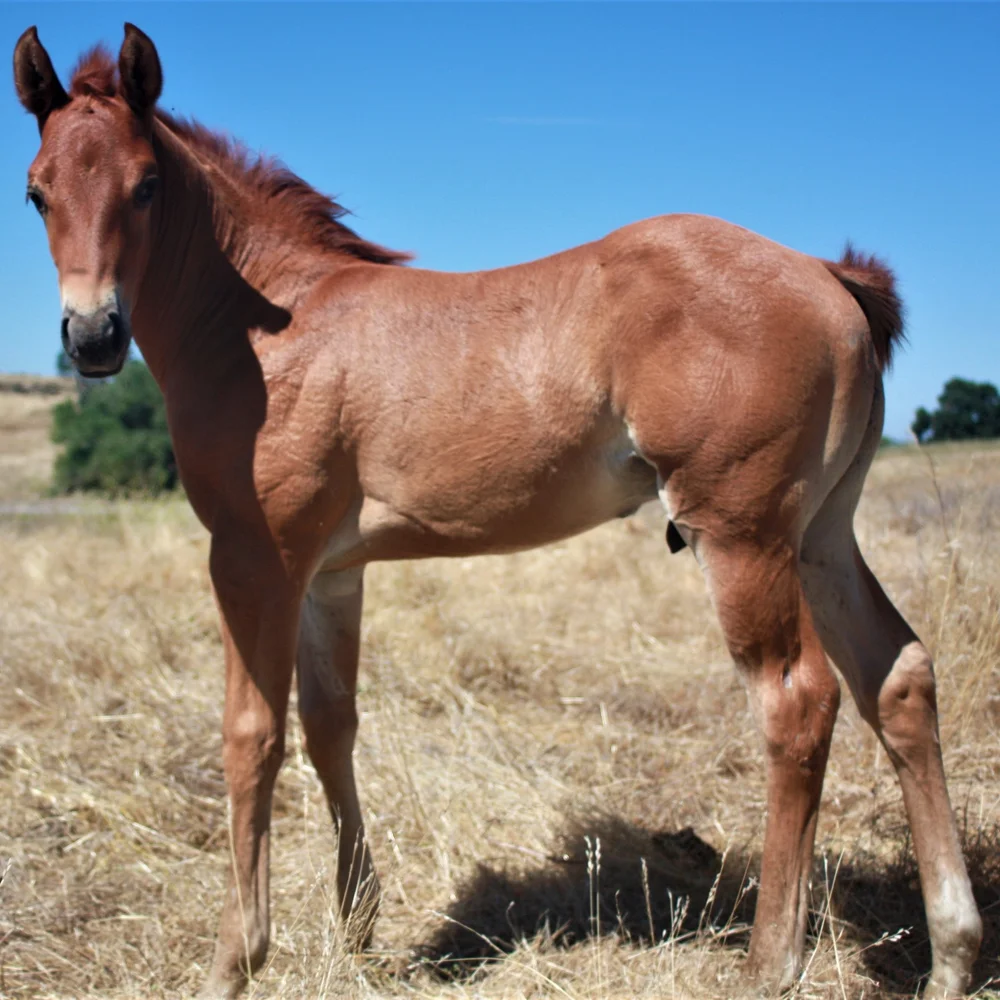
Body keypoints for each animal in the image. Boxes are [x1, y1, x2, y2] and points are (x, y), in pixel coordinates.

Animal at [13, 23, 981, 999]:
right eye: (37, 192)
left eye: (145, 184)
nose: (91, 336)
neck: (269, 324)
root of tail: (827, 275)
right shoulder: (331, 573)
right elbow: (331, 726)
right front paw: (357, 927)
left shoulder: (255, 560)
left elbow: (252, 736)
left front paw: (234, 959)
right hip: (820, 535)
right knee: (897, 676)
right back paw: (954, 954)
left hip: (742, 535)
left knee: (797, 702)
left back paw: (770, 964)